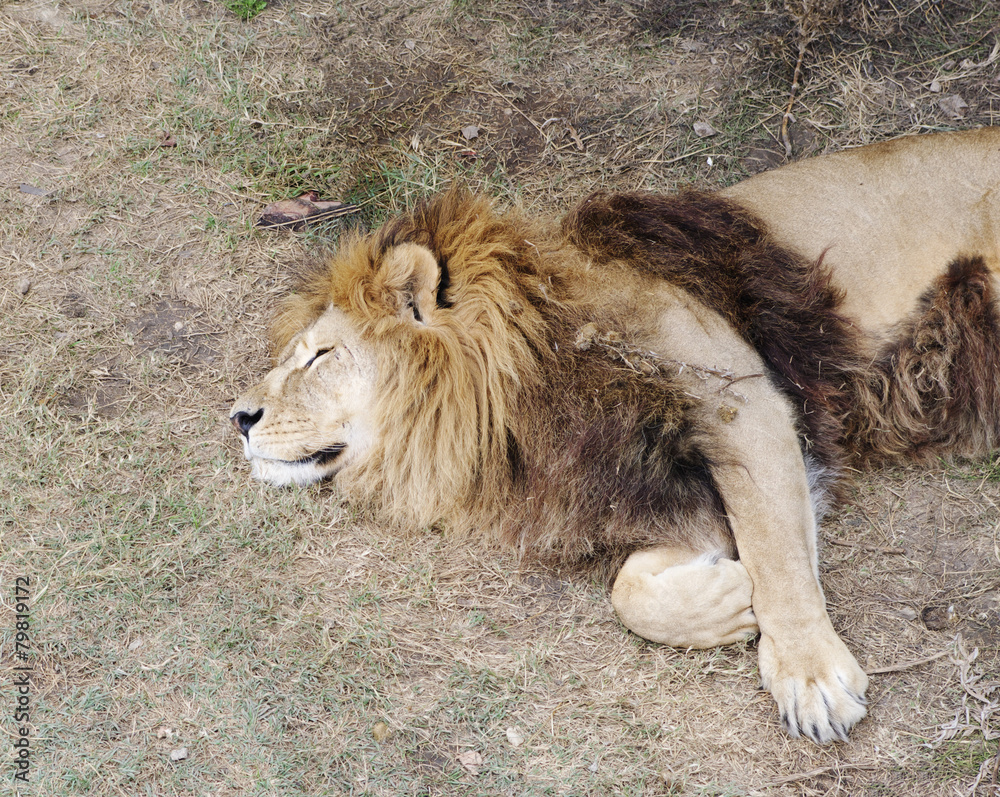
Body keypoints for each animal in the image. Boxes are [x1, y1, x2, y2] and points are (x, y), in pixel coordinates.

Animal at [231, 127, 1000, 744]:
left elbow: (776, 551)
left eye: (318, 356)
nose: (237, 418)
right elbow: (639, 588)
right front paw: (729, 596)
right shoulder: (646, 477)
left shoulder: (742, 398)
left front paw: (809, 676)